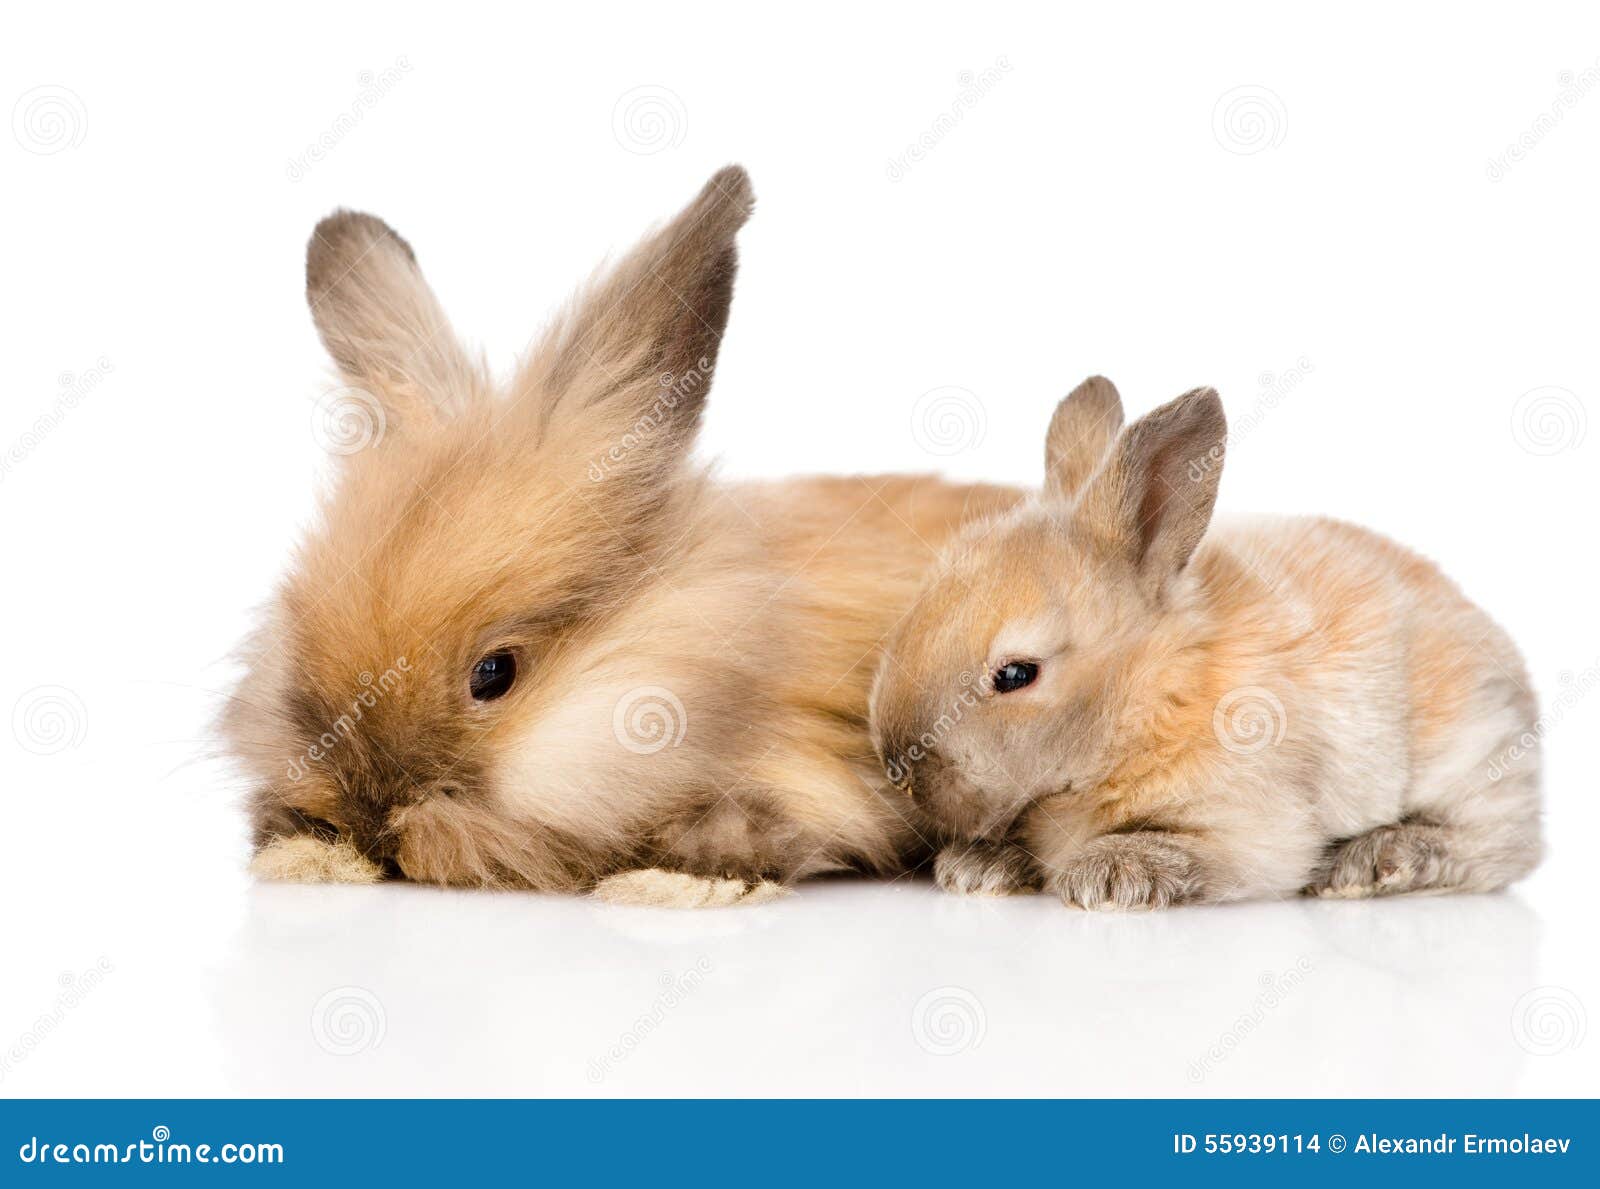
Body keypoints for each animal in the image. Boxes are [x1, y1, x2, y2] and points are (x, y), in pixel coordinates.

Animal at [868, 376, 1543, 909]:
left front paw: (1108, 876)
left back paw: (1373, 862)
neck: (1154, 696)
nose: (898, 767)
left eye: (1015, 675)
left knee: (1501, 846)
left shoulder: (1257, 828)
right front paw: (977, 869)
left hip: (1472, 756)